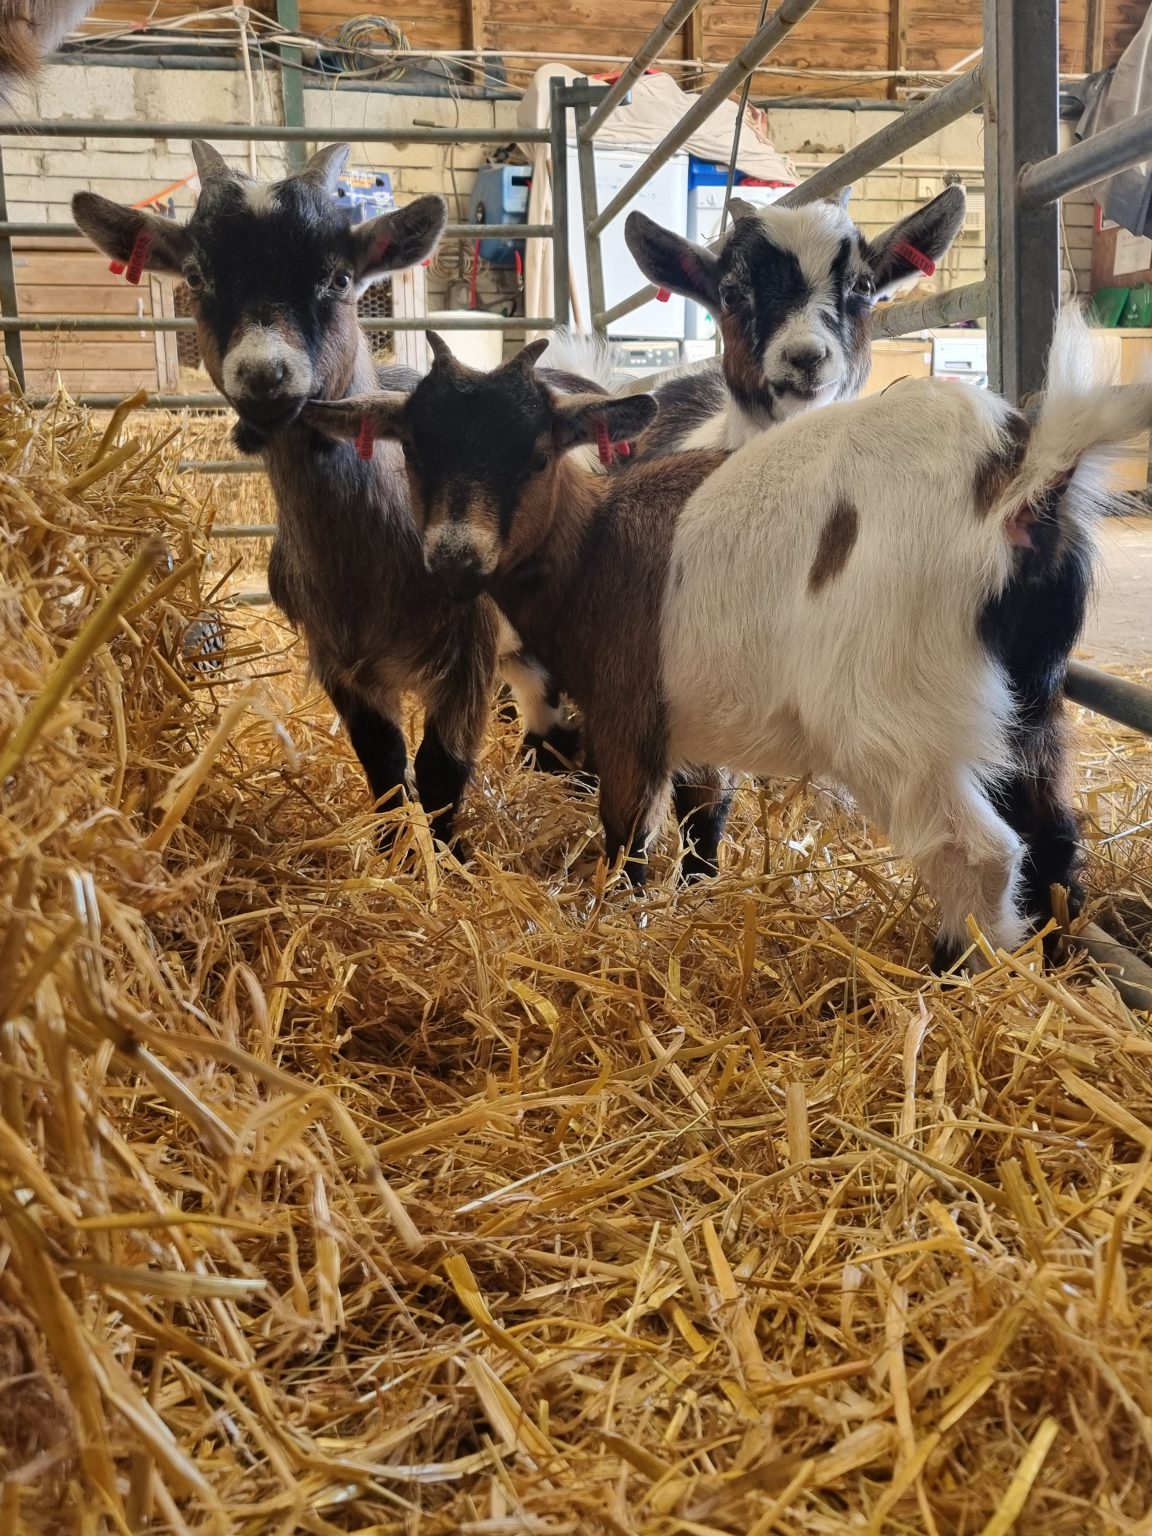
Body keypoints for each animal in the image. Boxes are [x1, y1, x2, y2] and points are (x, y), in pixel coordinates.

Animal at [72, 142, 579, 848]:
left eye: (338, 278)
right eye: (197, 276)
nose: (265, 376)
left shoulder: (468, 655)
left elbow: (441, 774)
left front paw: (445, 858)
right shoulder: (340, 659)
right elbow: (385, 766)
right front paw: (395, 850)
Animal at [304, 312, 1137, 969]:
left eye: (535, 453)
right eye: (415, 450)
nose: (454, 556)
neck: (594, 544)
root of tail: (1020, 486)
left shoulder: (629, 709)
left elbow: (627, 832)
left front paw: (621, 922)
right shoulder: (688, 715)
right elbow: (705, 807)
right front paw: (696, 893)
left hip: (894, 715)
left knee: (980, 852)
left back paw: (950, 973)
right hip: (1031, 701)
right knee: (1054, 837)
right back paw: (1047, 966)